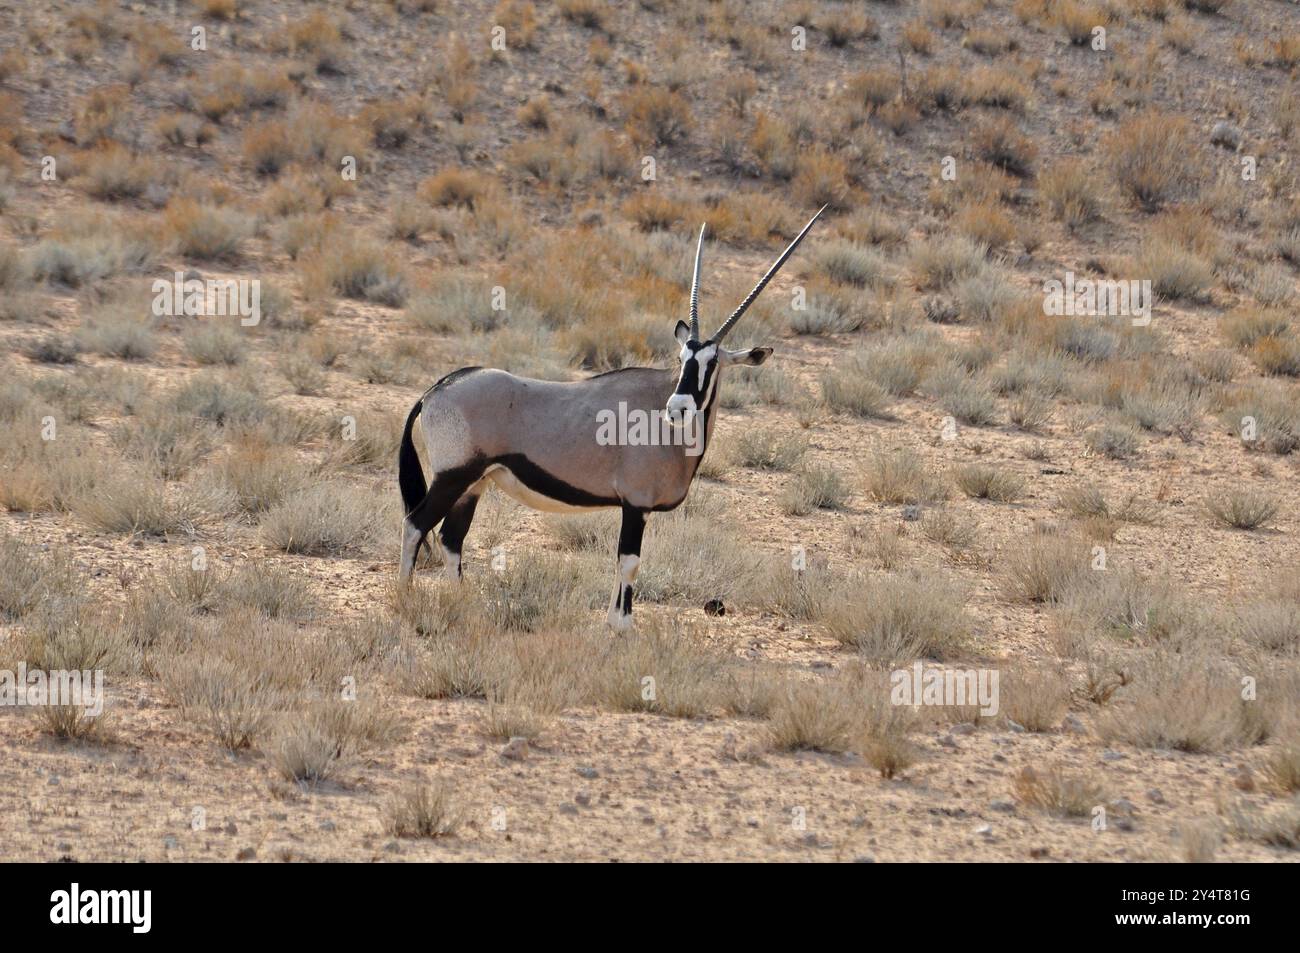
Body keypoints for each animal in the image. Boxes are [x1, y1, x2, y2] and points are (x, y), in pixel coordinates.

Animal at [397, 206, 825, 629]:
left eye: (712, 363)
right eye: (683, 358)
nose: (677, 408)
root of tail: (436, 389)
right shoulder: (635, 505)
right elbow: (629, 563)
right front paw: (620, 626)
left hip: (474, 483)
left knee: (451, 539)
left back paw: (465, 603)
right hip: (454, 475)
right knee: (416, 524)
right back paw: (404, 597)